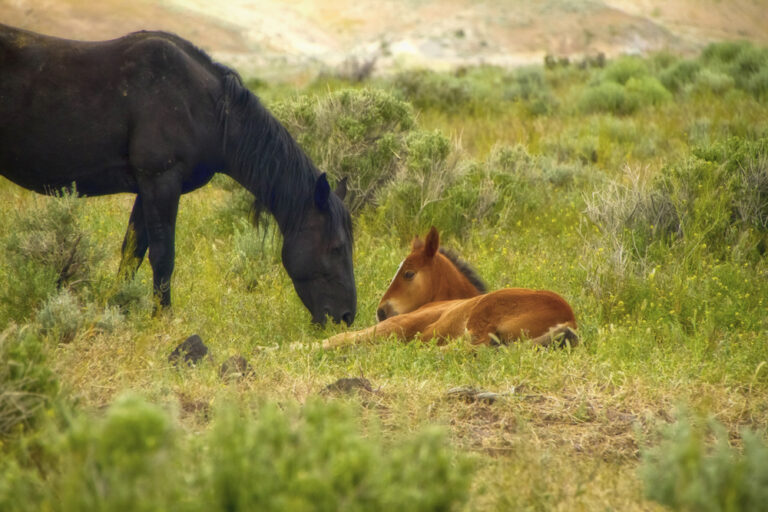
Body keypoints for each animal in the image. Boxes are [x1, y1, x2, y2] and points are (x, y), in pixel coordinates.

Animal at [0, 24, 356, 325]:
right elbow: (162, 255)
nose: (346, 316)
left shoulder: (146, 188)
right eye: (337, 247)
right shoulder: (161, 181)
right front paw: (163, 318)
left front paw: (119, 307)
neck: (203, 105)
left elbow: (132, 252)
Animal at [322, 227, 577, 348]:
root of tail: (568, 320)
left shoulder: (404, 322)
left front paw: (313, 346)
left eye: (408, 273)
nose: (381, 311)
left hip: (481, 319)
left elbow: (347, 336)